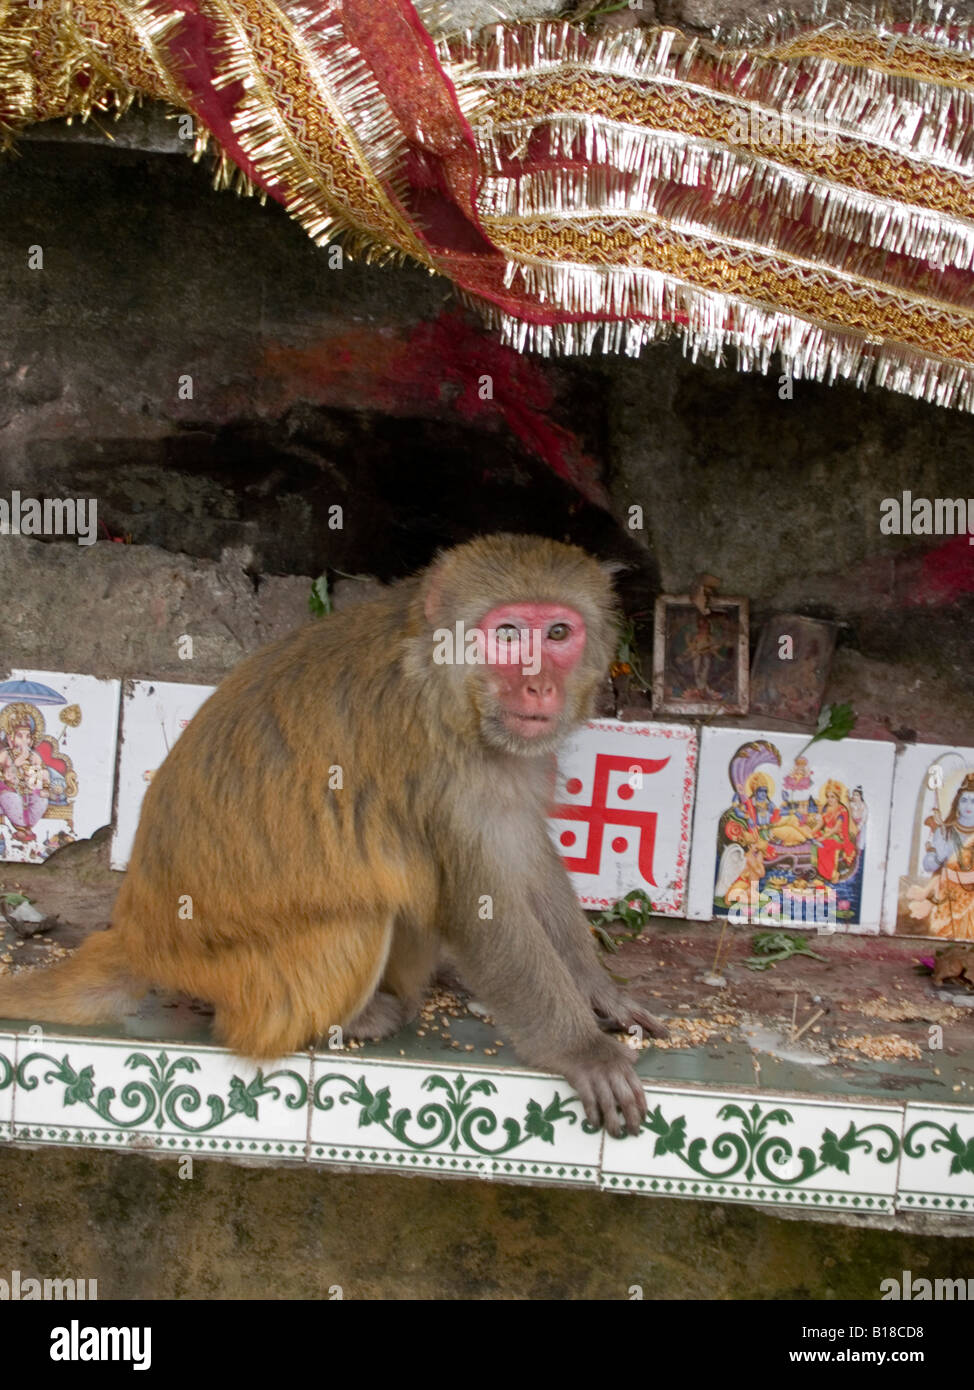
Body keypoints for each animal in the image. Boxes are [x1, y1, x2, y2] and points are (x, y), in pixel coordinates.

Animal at [0, 534, 666, 1136]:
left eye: (556, 634)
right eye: (506, 634)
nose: (538, 687)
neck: (447, 680)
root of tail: (142, 938)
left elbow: (524, 856)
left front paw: (598, 991)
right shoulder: (433, 760)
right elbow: (481, 906)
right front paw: (582, 1050)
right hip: (254, 973)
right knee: (364, 914)